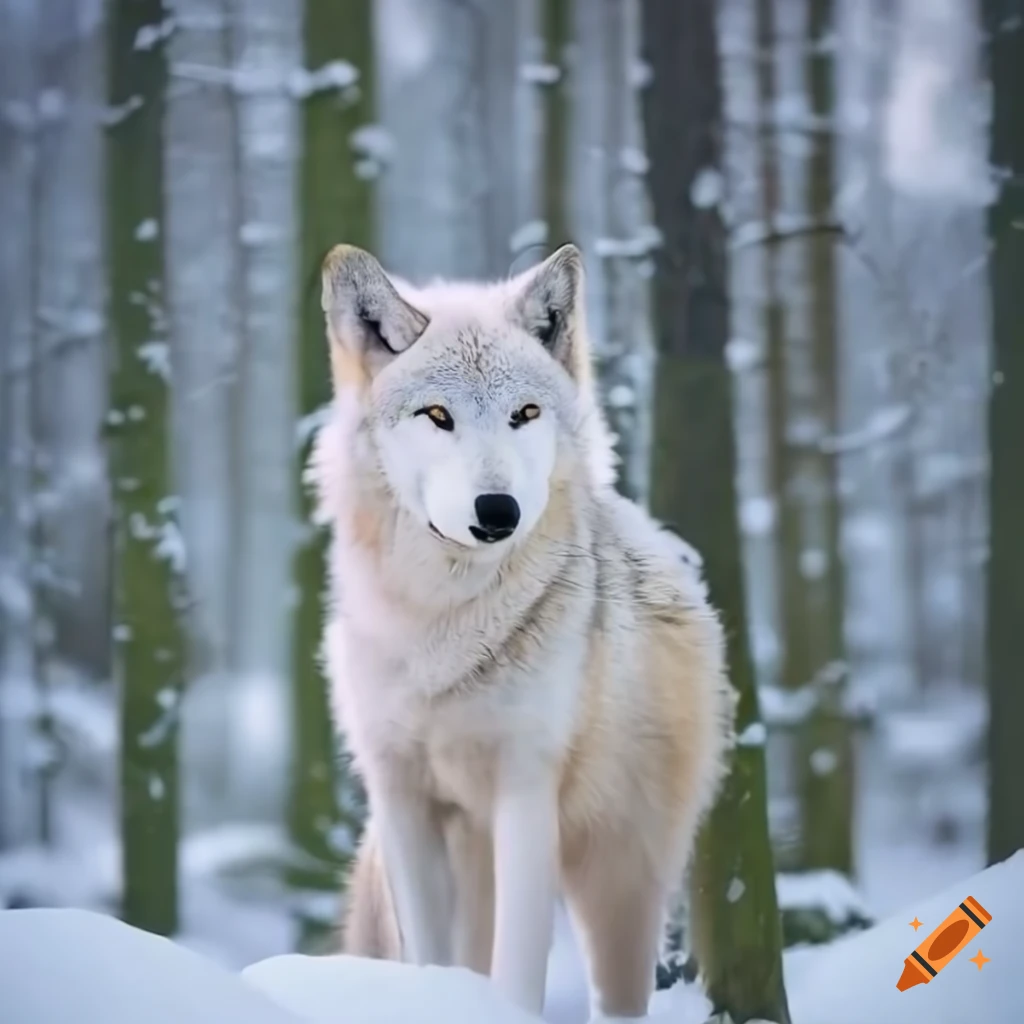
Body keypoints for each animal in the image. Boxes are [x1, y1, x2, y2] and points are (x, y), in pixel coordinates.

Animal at [310, 242, 734, 1021]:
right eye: (437, 414)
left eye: (525, 413)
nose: (498, 510)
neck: (442, 626)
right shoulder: (402, 796)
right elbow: (429, 955)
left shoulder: (525, 791)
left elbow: (519, 967)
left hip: (618, 881)